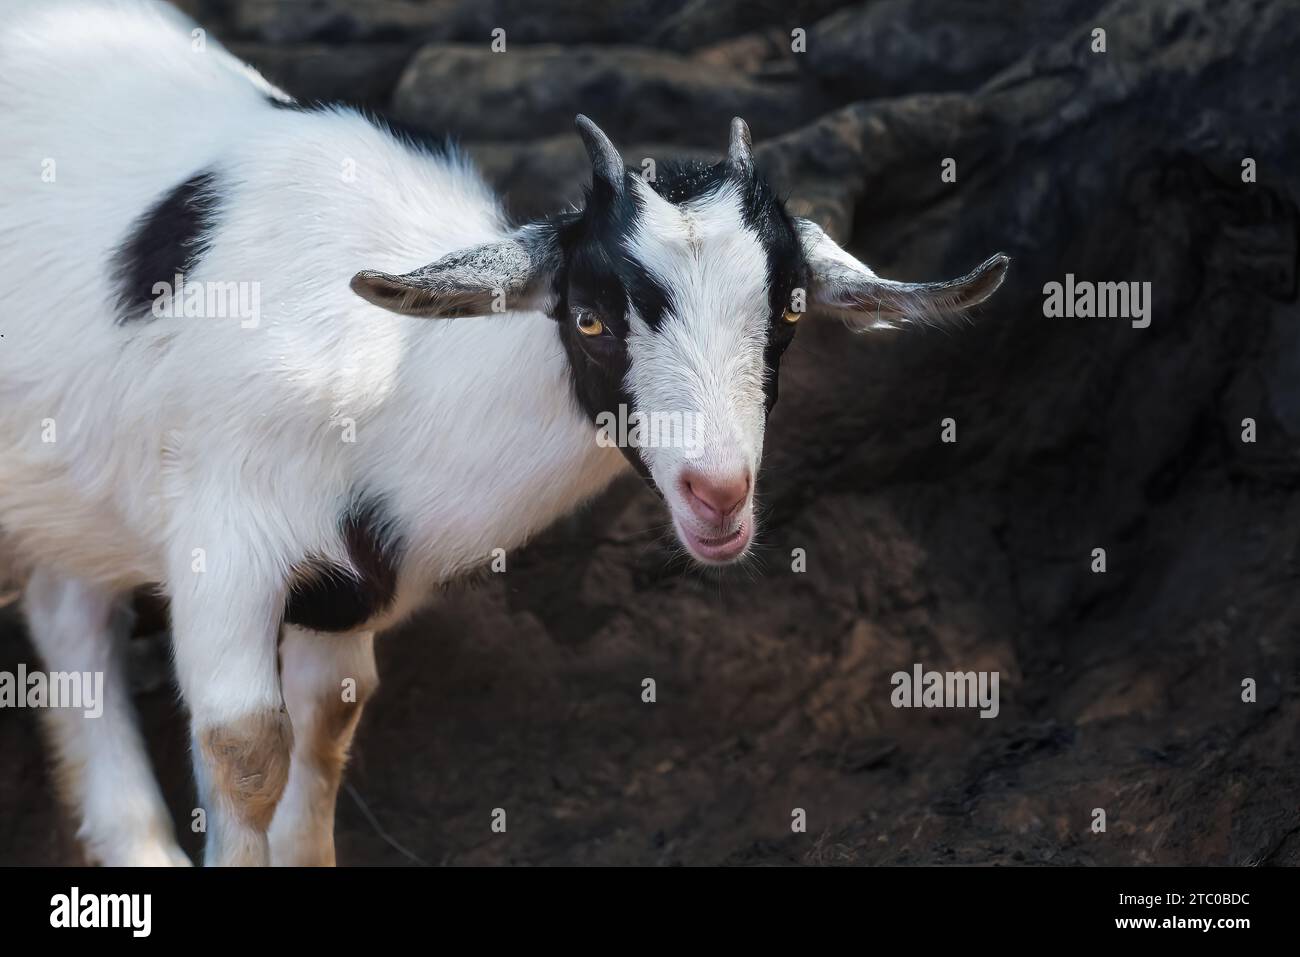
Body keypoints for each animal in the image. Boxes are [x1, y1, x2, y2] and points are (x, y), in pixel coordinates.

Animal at [0, 0, 1009, 865]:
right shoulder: (226, 536)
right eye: (591, 317)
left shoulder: (346, 590)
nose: (718, 494)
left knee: (66, 606)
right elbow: (248, 748)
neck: (392, 368)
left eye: (790, 311)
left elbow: (326, 729)